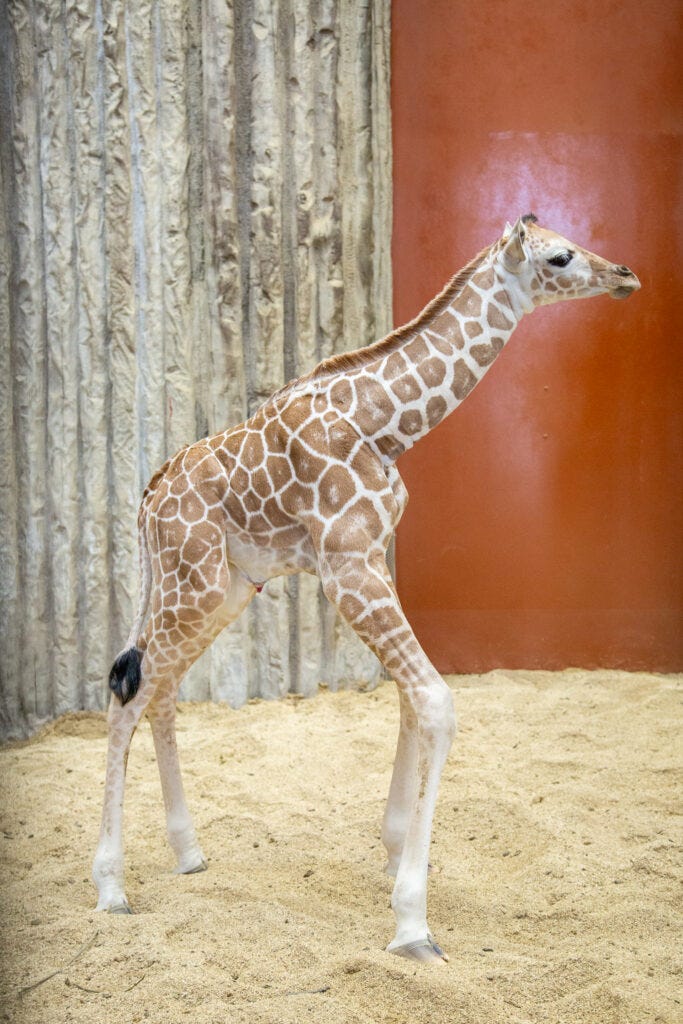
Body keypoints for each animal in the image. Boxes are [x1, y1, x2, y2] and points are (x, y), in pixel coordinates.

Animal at [93, 215, 640, 962]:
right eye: (559, 255)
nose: (624, 275)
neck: (386, 425)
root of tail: (148, 497)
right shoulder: (347, 565)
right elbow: (434, 701)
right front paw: (412, 923)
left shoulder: (373, 557)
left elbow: (409, 699)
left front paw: (393, 852)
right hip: (193, 582)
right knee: (129, 693)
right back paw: (111, 888)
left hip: (221, 588)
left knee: (158, 687)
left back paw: (189, 853)